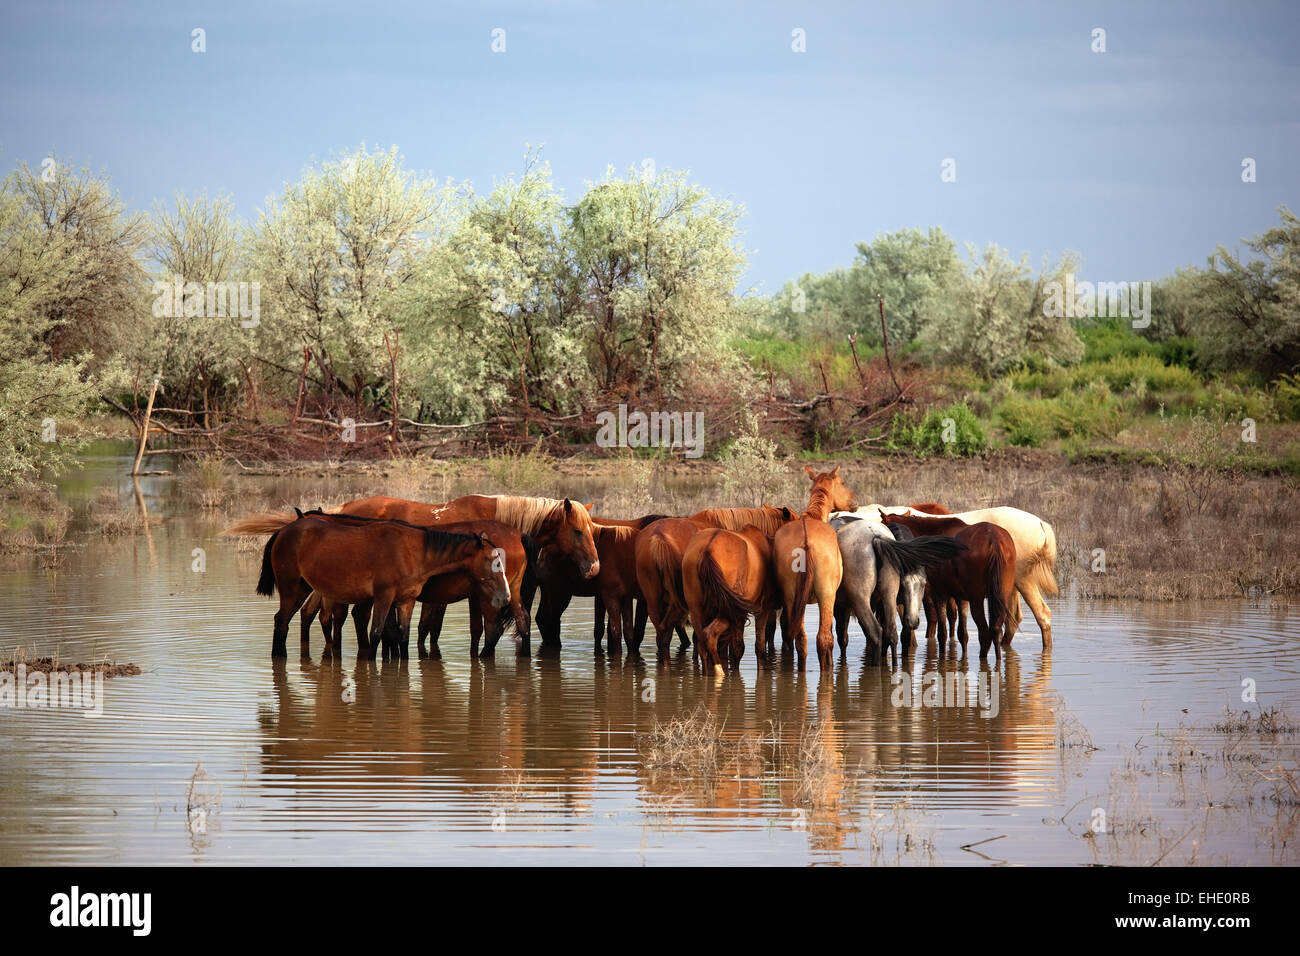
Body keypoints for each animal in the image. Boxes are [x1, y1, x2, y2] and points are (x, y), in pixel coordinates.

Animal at [252, 513, 509, 660]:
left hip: (302, 588)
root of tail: (284, 530)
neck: (413, 552)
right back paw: (280, 657)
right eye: (494, 562)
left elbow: (402, 637)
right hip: (290, 587)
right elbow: (375, 634)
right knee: (282, 622)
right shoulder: (383, 598)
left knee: (282, 620)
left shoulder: (406, 601)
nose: (505, 596)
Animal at [681, 526, 779, 675]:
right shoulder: (762, 608)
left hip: (697, 609)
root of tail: (707, 549)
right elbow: (754, 647)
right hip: (730, 610)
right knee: (710, 635)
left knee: (702, 644)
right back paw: (719, 671)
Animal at [772, 466, 858, 670]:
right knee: (824, 639)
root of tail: (806, 542)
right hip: (826, 595)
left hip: (792, 598)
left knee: (800, 640)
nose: (855, 501)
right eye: (842, 482)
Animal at [881, 511, 1016, 661]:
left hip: (977, 599)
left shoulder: (939, 593)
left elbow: (942, 633)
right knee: (996, 630)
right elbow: (962, 634)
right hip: (1000, 596)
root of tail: (993, 539)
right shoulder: (961, 598)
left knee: (984, 633)